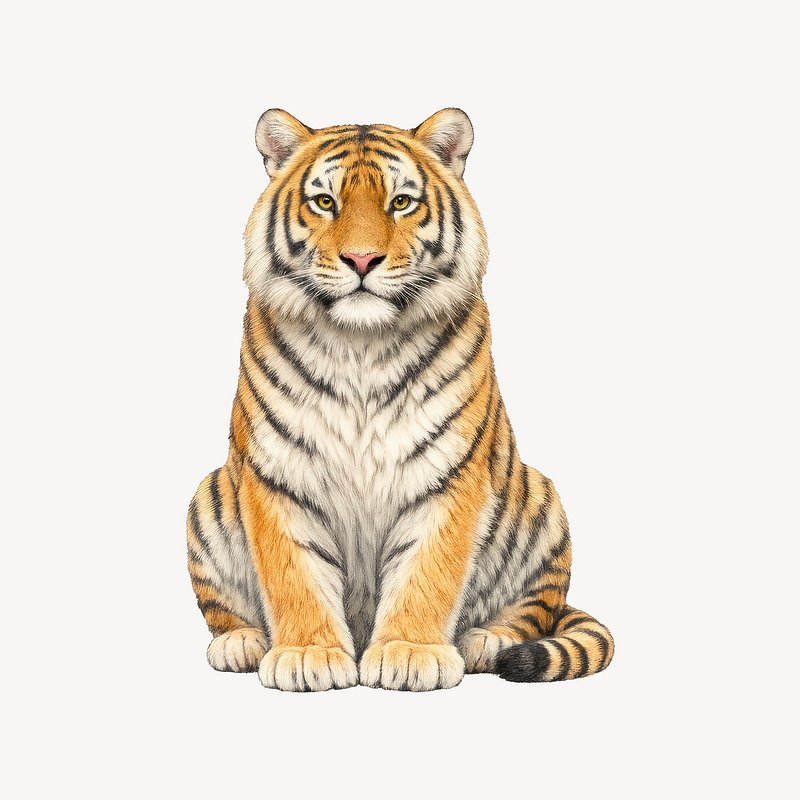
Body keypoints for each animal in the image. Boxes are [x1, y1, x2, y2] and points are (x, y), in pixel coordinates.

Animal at [186, 107, 614, 691]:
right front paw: (307, 654)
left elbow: (427, 569)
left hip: (543, 504)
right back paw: (242, 642)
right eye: (325, 202)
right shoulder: (278, 471)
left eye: (402, 202)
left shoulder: (448, 471)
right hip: (206, 498)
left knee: (535, 609)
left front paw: (410, 653)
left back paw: (488, 640)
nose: (362, 258)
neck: (360, 344)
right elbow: (294, 573)